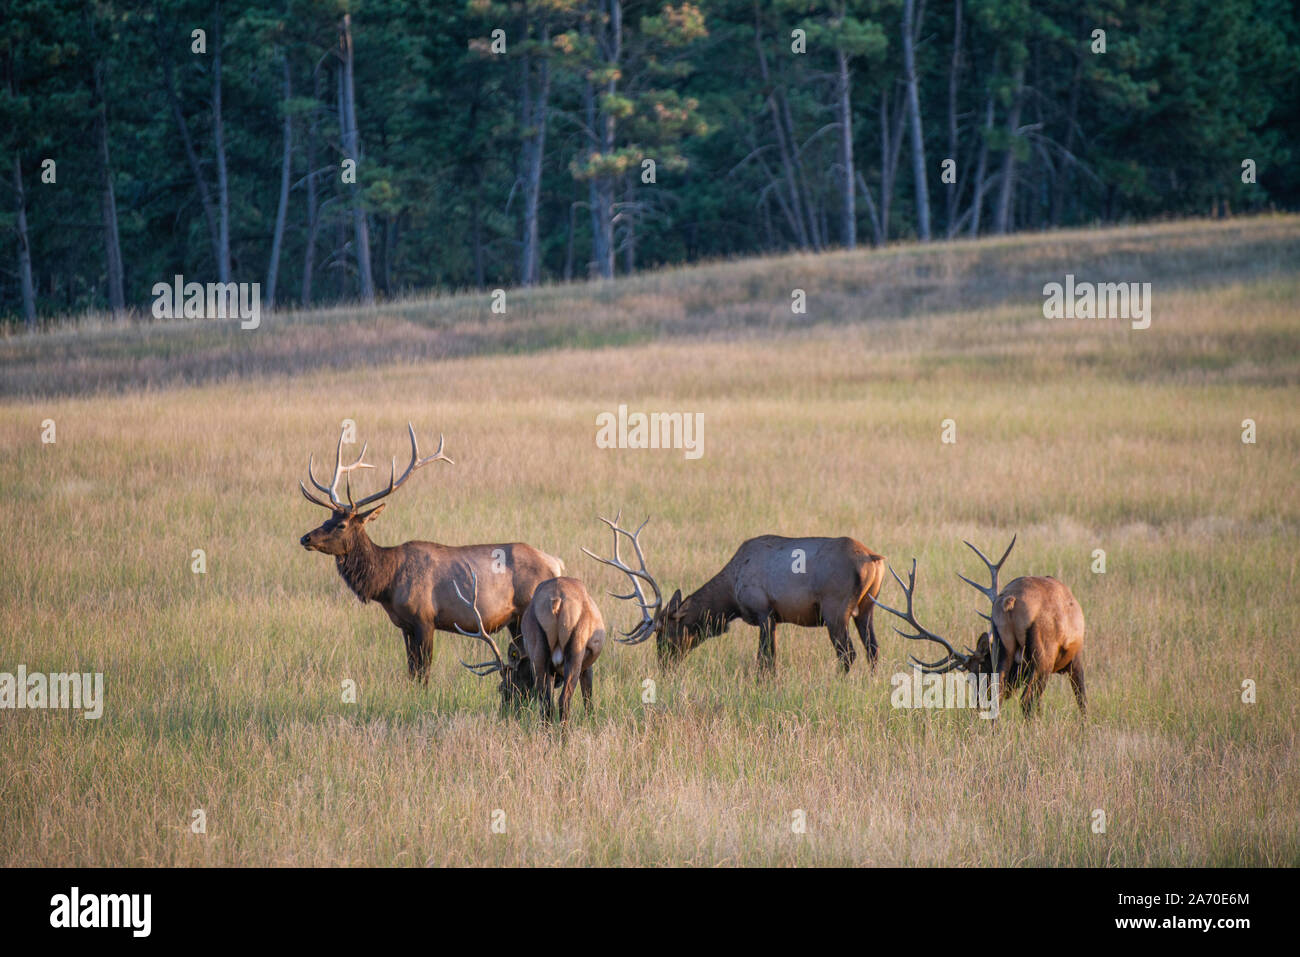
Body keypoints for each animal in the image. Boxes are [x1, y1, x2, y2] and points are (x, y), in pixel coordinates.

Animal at [297, 423, 564, 698]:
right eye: (326, 518)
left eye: (341, 524)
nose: (305, 538)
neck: (387, 583)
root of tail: (555, 563)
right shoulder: (404, 625)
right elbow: (411, 668)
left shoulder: (424, 619)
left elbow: (423, 670)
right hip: (514, 621)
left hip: (526, 613)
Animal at [455, 571, 606, 724]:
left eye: (502, 688)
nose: (502, 714)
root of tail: (557, 602)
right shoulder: (586, 664)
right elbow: (588, 700)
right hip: (575, 649)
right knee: (562, 700)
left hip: (539, 650)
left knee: (547, 702)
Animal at [582, 514, 887, 678]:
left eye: (665, 631)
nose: (664, 666)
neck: (730, 597)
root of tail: (874, 559)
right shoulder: (773, 618)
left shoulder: (764, 612)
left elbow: (765, 661)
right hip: (866, 609)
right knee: (872, 649)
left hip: (836, 611)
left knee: (848, 653)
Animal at [875, 536, 1087, 716]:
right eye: (971, 677)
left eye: (978, 671)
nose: (978, 705)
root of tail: (1010, 602)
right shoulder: (1076, 657)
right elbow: (1082, 700)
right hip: (1043, 655)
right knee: (1026, 701)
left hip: (1006, 650)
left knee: (1002, 697)